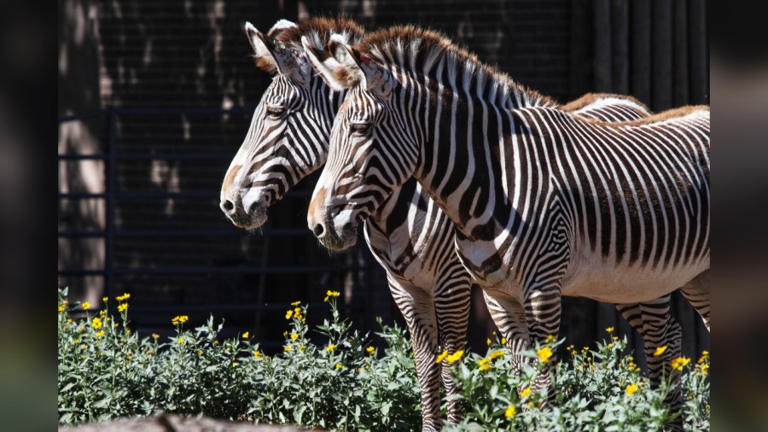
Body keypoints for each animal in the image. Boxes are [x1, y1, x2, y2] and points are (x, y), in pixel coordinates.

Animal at [218, 18, 671, 431]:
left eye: (275, 113)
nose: (228, 203)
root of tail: (634, 104)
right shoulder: (404, 288)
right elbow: (424, 371)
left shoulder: (452, 283)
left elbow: (451, 368)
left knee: (662, 341)